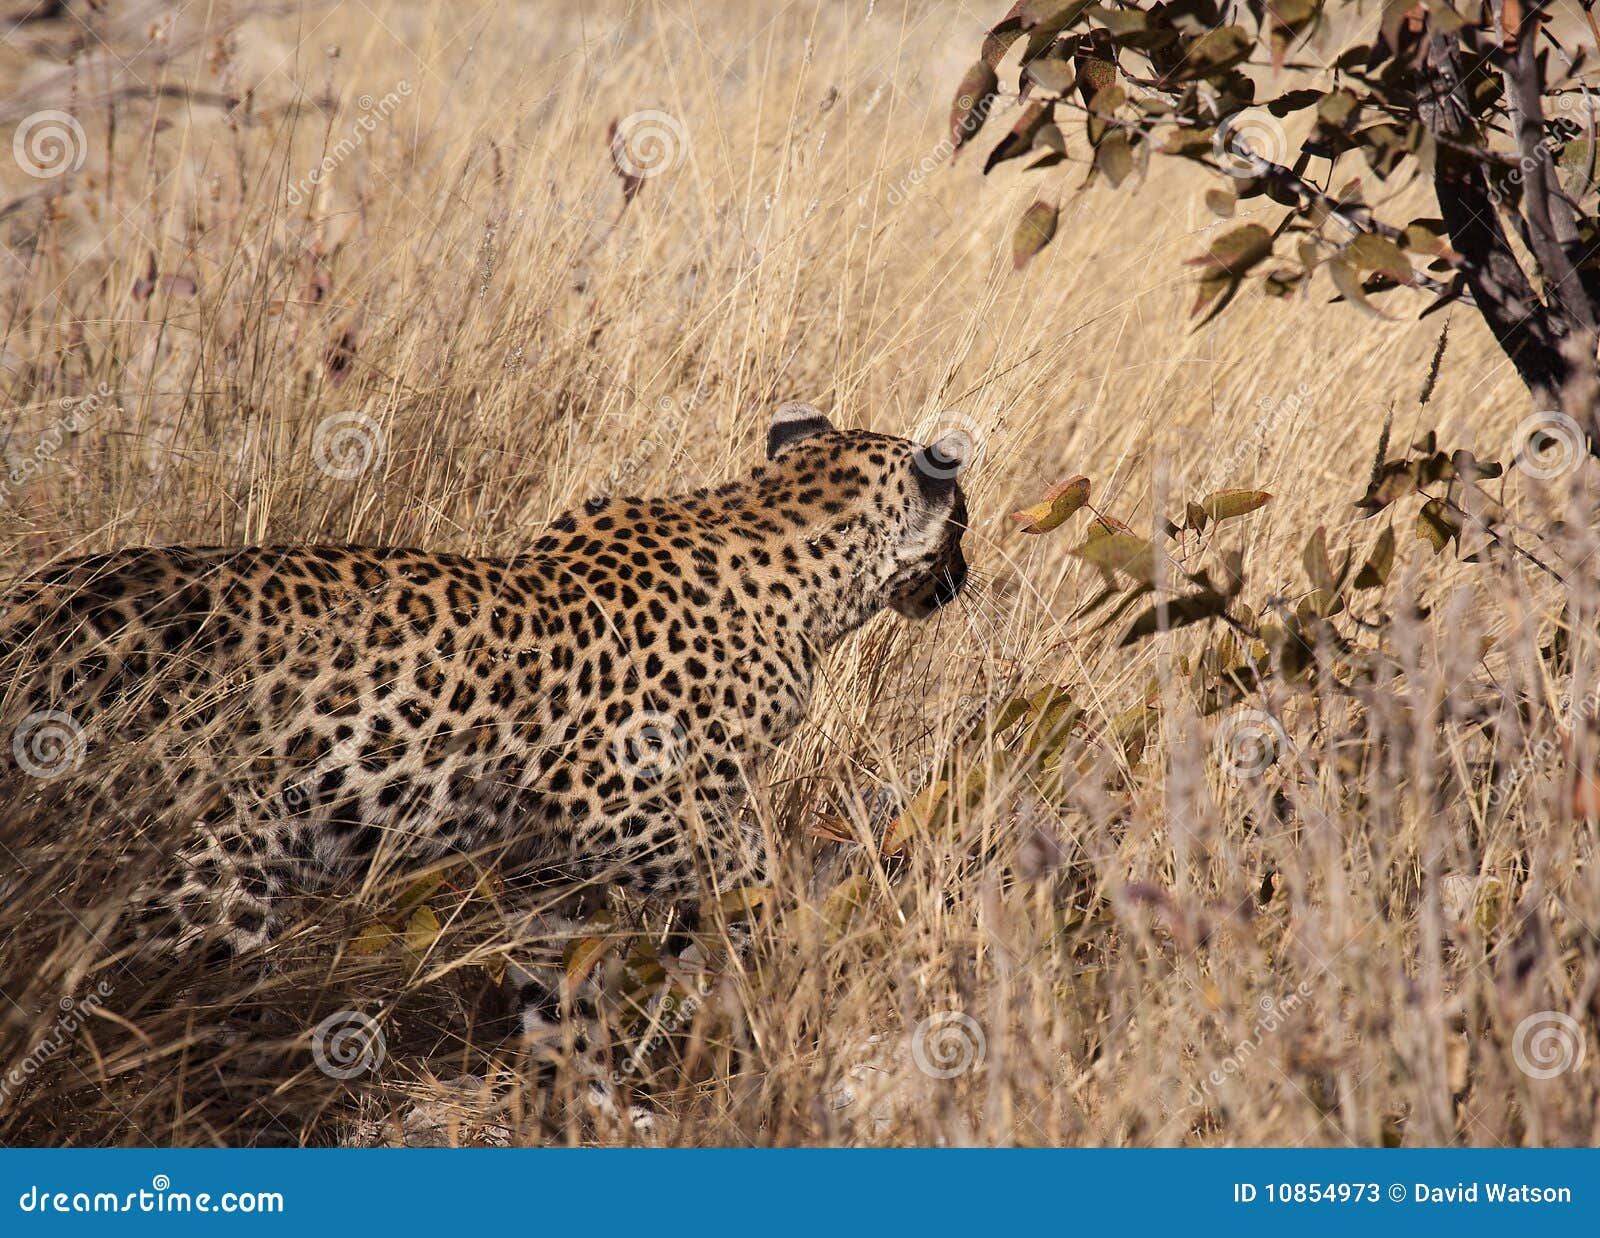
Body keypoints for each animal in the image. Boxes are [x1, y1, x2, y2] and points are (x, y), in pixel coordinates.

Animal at [0, 403, 971, 1127]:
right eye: (960, 524)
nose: (964, 575)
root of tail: (32, 613)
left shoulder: (546, 869)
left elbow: (563, 998)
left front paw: (591, 1105)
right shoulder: (615, 805)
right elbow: (747, 862)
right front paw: (778, 927)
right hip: (201, 882)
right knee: (140, 1024)